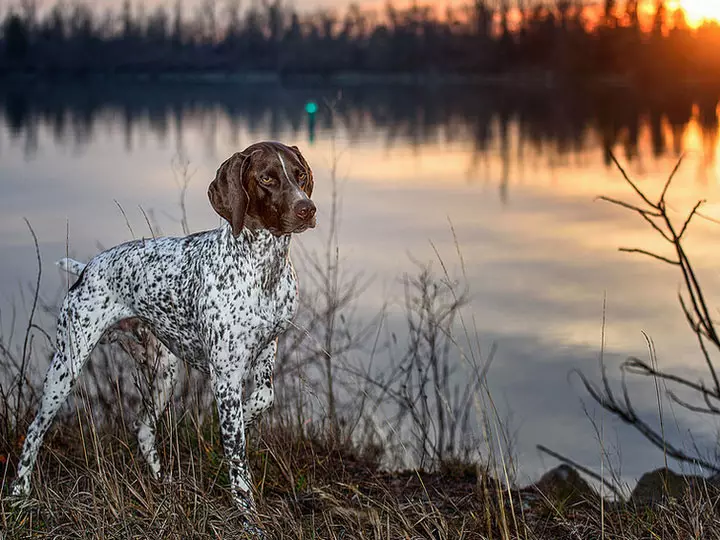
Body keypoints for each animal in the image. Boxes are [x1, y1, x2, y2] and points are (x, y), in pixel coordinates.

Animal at [11, 141, 316, 532]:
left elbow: (262, 400)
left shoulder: (266, 351)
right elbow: (237, 458)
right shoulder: (225, 376)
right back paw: (20, 494)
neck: (264, 269)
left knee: (142, 427)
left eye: (300, 175)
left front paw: (241, 421)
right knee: (34, 430)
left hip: (164, 374)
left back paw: (160, 480)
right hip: (66, 367)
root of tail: (88, 269)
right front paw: (248, 517)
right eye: (266, 178)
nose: (307, 209)